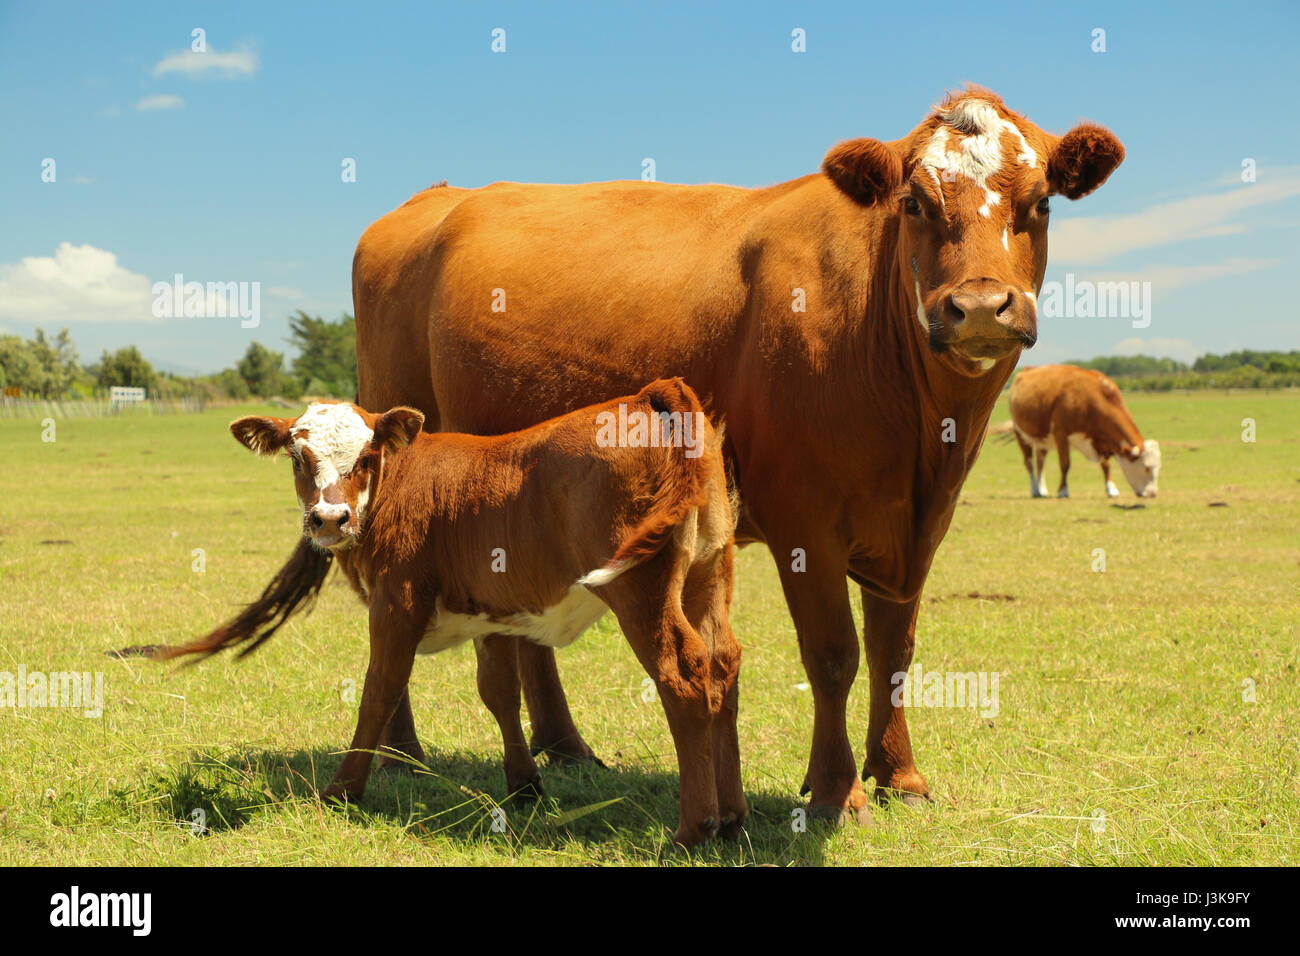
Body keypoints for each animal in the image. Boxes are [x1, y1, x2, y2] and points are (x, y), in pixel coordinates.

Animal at [160, 380, 745, 847]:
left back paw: (693, 830)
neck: (398, 484)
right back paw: (732, 816)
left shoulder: (396, 604)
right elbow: (501, 693)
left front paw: (342, 790)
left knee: (682, 676)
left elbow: (380, 692)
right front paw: (524, 786)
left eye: (366, 457)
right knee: (723, 667)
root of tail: (649, 394)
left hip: (641, 590)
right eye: (298, 459)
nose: (329, 518)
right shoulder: (493, 612)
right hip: (708, 575)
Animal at [240, 86, 1122, 824]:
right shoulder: (806, 522)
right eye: (914, 202)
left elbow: (894, 649)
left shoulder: (917, 525)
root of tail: (433, 201)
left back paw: (562, 749)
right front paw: (835, 792)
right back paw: (399, 755)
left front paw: (898, 775)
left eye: (1040, 201)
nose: (980, 306)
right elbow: (833, 653)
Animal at [1009, 364, 1161, 499]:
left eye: (1157, 468)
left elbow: (1106, 465)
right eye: (1146, 467)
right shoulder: (1061, 434)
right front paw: (1063, 491)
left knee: (1040, 463)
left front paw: (1111, 489)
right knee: (1029, 464)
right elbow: (1065, 464)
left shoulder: (1100, 440)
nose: (1152, 494)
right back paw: (1035, 489)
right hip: (1020, 435)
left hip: (1043, 440)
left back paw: (1042, 490)